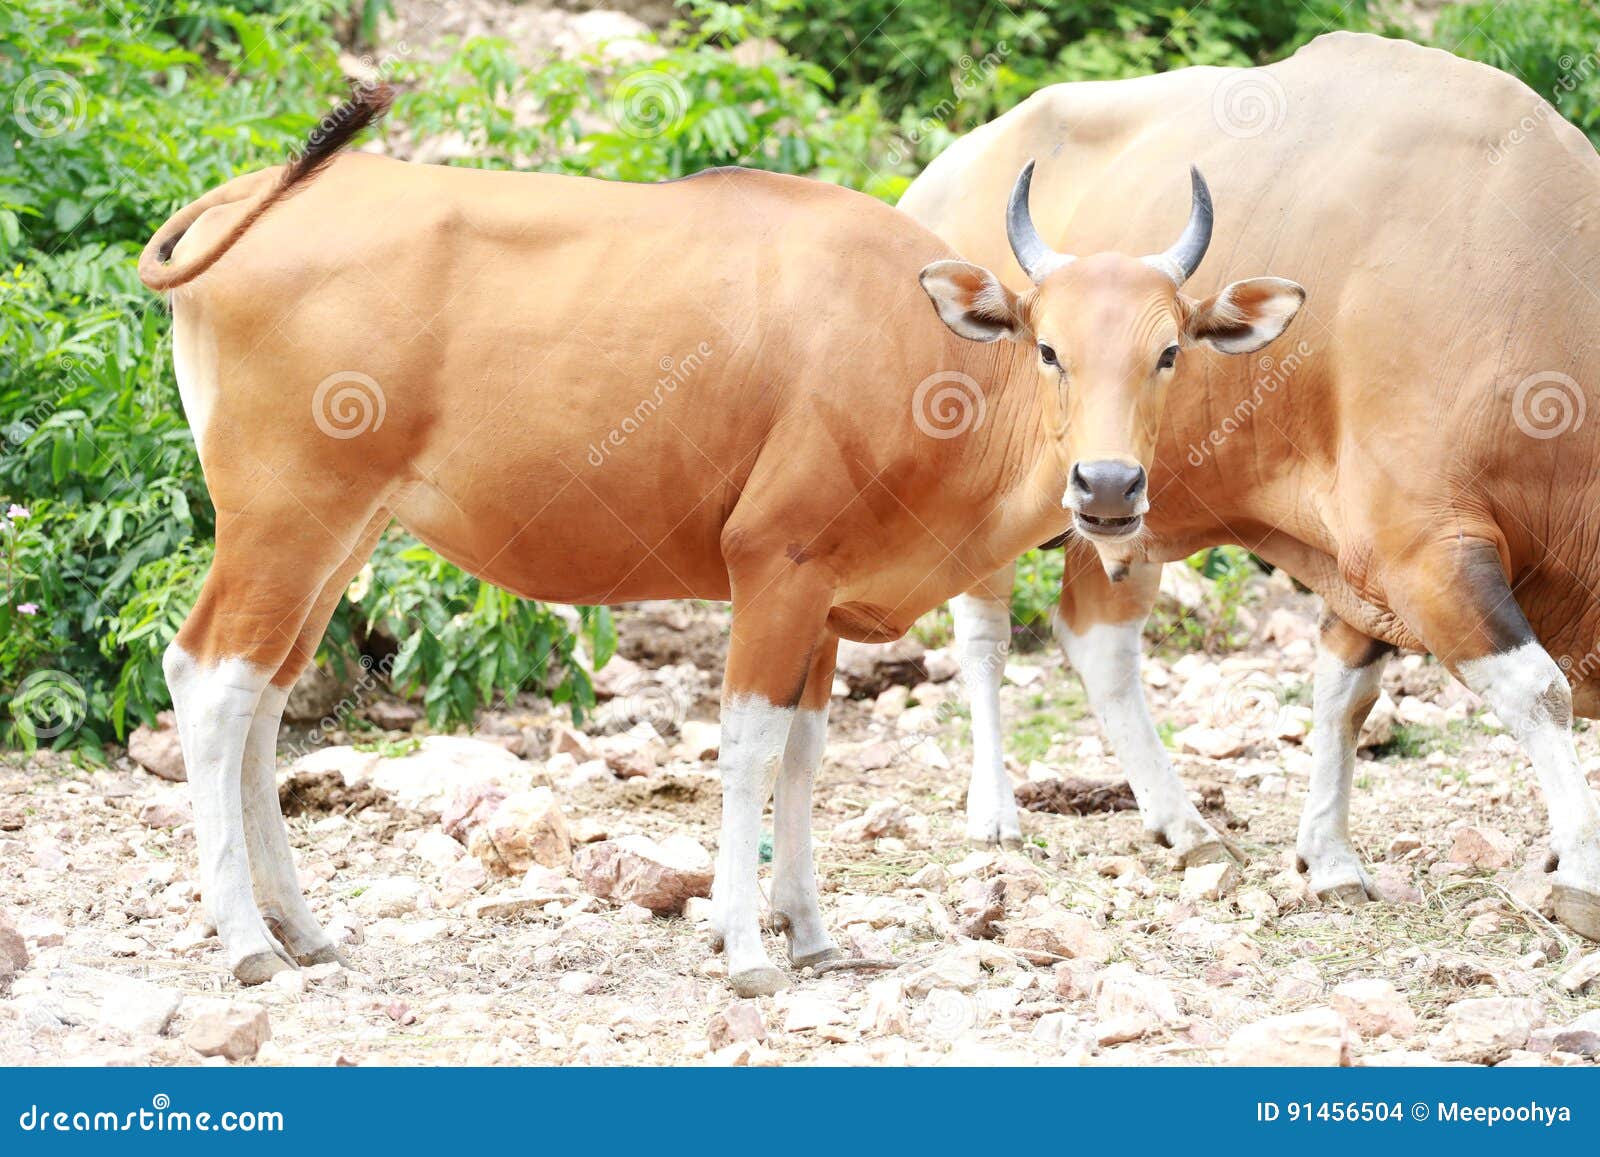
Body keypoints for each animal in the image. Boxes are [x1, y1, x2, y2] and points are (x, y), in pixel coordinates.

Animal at [136, 84, 1303, 993]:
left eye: (1167, 351)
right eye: (1049, 346)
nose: (1106, 485)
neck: (924, 359)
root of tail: (252, 198)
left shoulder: (823, 601)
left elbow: (806, 751)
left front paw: (814, 933)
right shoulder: (771, 569)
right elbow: (744, 747)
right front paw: (747, 946)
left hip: (340, 534)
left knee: (267, 696)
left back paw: (301, 928)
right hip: (282, 517)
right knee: (208, 681)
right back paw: (246, 942)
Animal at [899, 30, 1600, 942]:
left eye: (1171, 353)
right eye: (1046, 351)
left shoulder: (1364, 562)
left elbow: (1346, 693)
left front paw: (1329, 857)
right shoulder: (1424, 546)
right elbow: (1539, 689)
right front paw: (1583, 871)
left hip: (1123, 518)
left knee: (1096, 639)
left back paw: (1183, 822)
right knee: (984, 633)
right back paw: (996, 811)